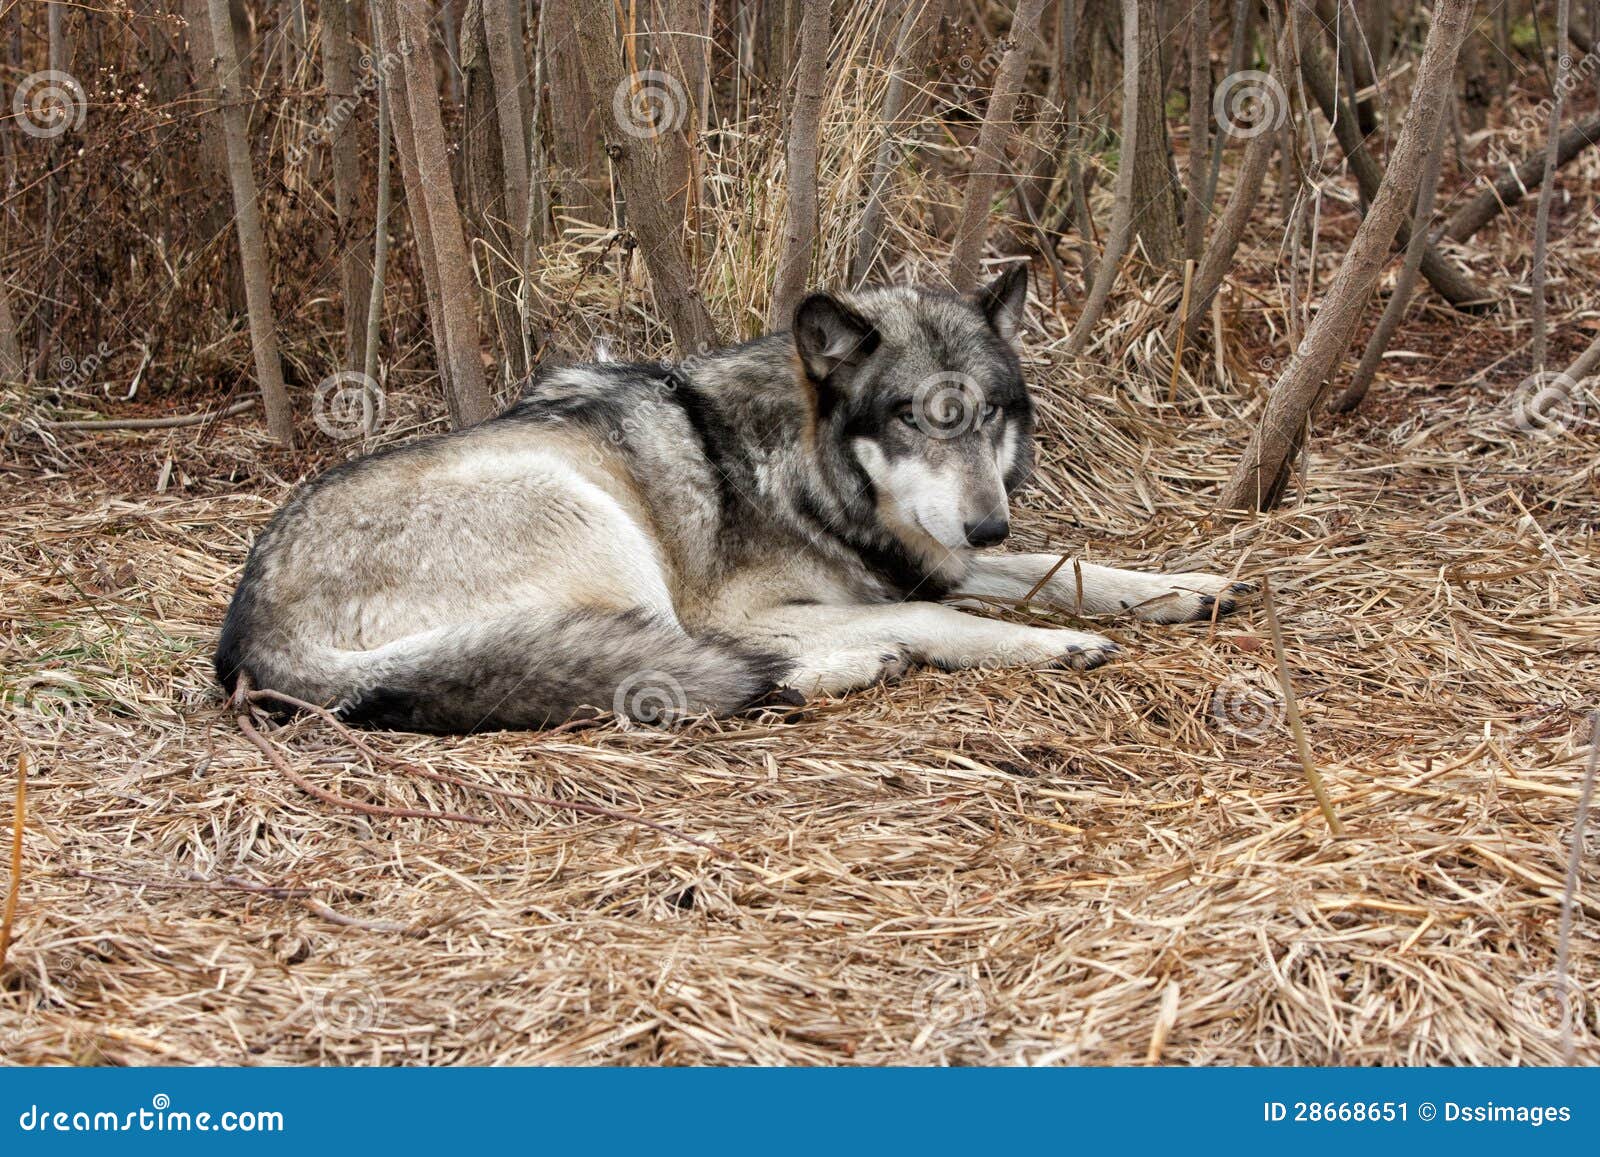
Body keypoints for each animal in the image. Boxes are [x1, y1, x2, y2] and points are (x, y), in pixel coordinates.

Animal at [215, 265, 1253, 733]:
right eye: (917, 417)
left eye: (987, 414)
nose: (989, 519)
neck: (806, 470)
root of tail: (249, 632)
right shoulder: (754, 603)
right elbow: (945, 616)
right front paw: (1054, 643)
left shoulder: (933, 556)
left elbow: (1067, 565)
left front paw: (1188, 587)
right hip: (598, 526)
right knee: (689, 674)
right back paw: (854, 664)